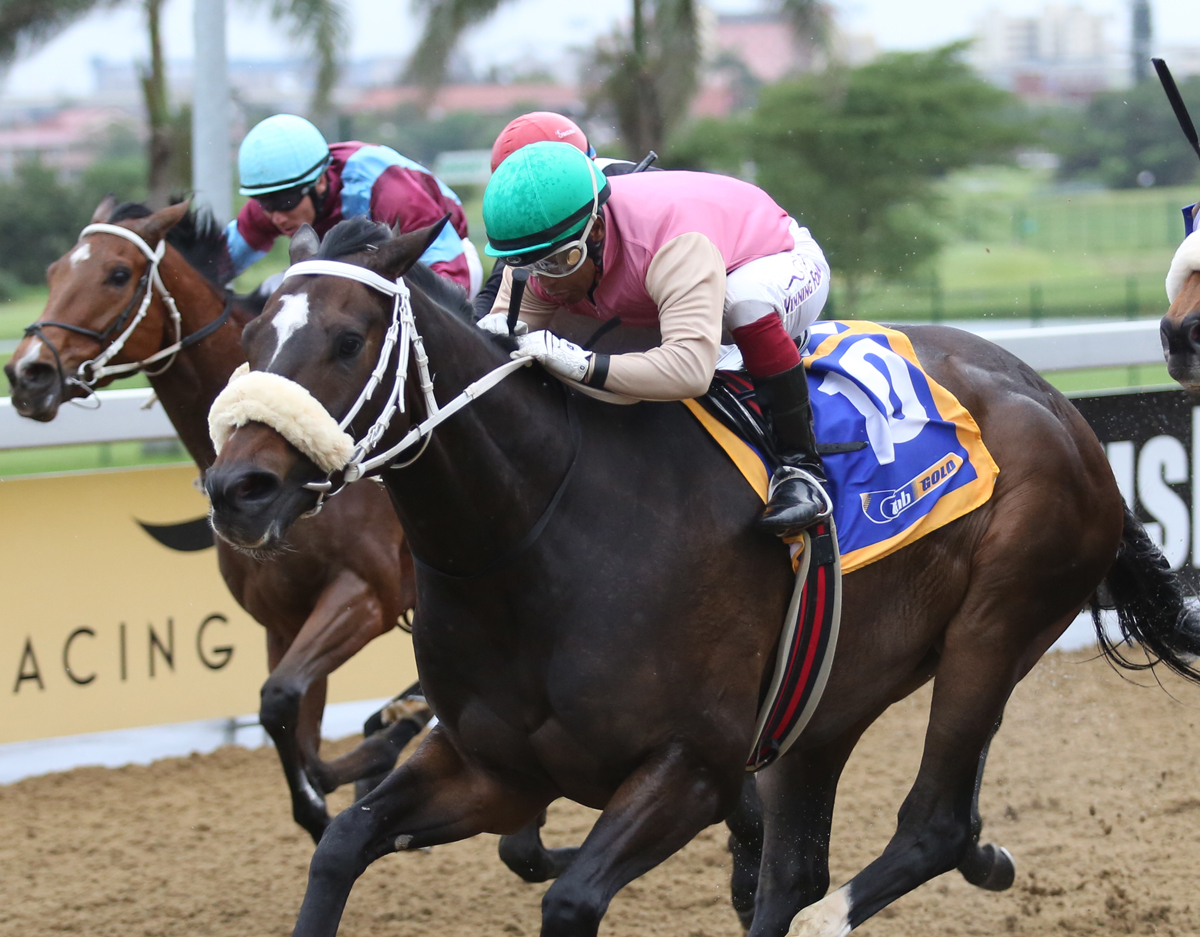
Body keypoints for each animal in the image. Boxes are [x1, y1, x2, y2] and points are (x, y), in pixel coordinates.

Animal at [3, 199, 579, 883]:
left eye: (118, 275)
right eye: (55, 269)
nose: (29, 372)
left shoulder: (366, 596)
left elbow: (284, 703)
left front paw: (373, 754)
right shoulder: (282, 619)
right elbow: (288, 719)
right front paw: (344, 781)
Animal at [204, 216, 1200, 937]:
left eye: (346, 339)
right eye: (250, 336)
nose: (236, 487)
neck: (538, 526)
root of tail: (1056, 402)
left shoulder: (692, 764)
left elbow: (569, 898)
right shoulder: (494, 765)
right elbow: (341, 843)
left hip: (996, 625)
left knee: (932, 822)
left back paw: (872, 901)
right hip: (826, 694)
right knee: (799, 868)